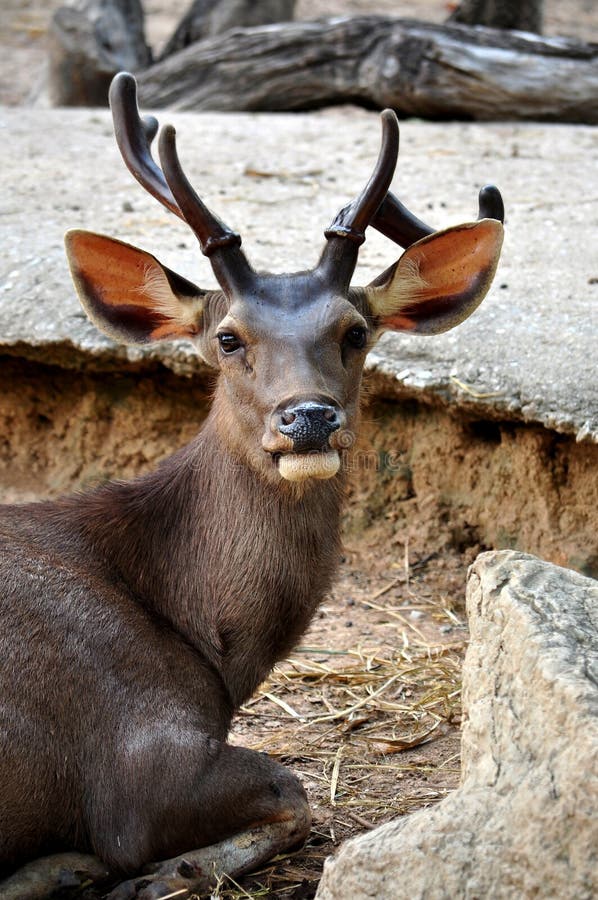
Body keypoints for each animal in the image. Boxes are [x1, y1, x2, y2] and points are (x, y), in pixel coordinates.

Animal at [0, 72, 504, 900]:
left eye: (354, 331)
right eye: (228, 337)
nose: (309, 418)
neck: (207, 644)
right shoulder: (139, 756)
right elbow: (292, 794)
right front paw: (154, 873)